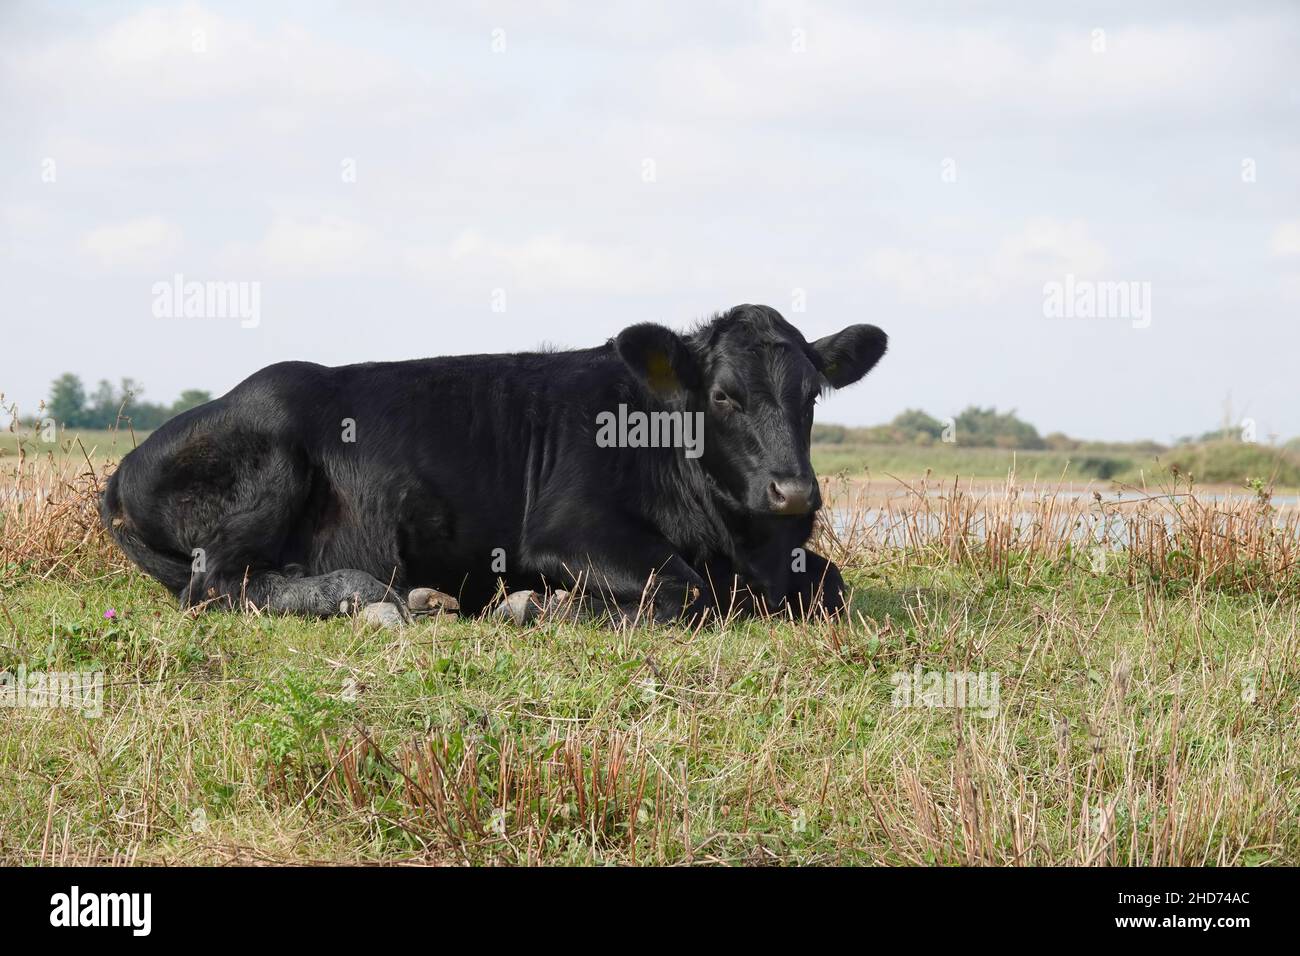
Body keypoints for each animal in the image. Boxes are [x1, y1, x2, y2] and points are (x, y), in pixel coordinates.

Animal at [100, 304, 887, 625]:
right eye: (723, 395)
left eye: (812, 394)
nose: (793, 491)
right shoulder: (570, 526)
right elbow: (681, 588)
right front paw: (541, 605)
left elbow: (832, 584)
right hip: (271, 461)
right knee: (219, 586)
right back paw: (360, 594)